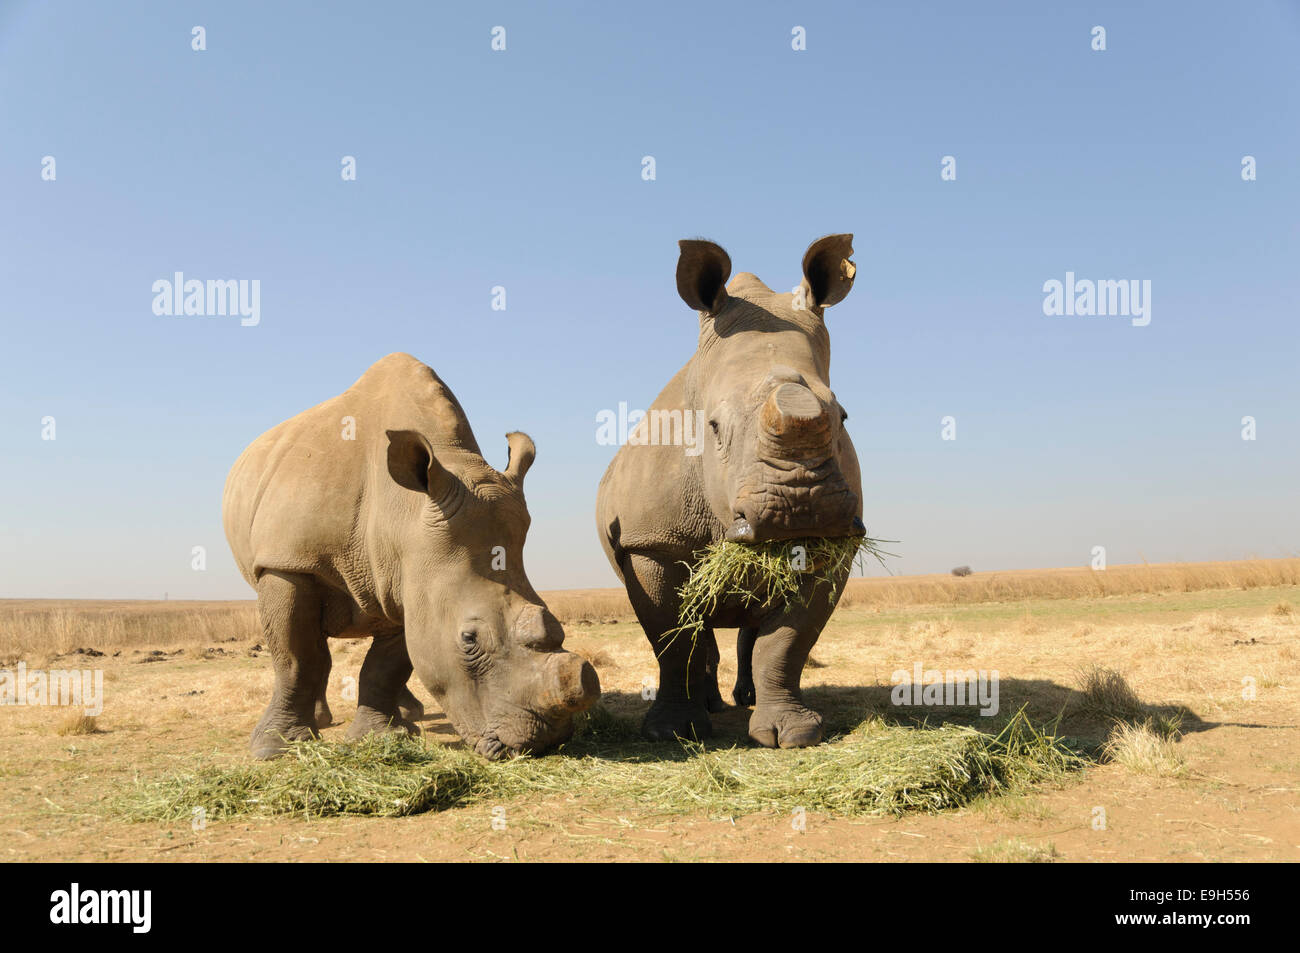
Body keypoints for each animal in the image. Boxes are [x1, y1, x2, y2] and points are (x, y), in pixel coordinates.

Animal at [223, 353, 600, 760]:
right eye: (469, 639)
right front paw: (276, 748)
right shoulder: (288, 563)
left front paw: (381, 738)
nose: (542, 741)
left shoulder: (406, 577)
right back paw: (324, 721)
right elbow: (297, 659)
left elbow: (387, 664)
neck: (402, 514)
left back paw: (408, 717)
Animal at [596, 235, 864, 747]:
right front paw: (672, 734)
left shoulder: (834, 545)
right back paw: (711, 707)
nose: (798, 505)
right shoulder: (650, 544)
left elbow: (787, 643)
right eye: (715, 427)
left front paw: (794, 735)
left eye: (842, 418)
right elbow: (674, 638)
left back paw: (745, 700)